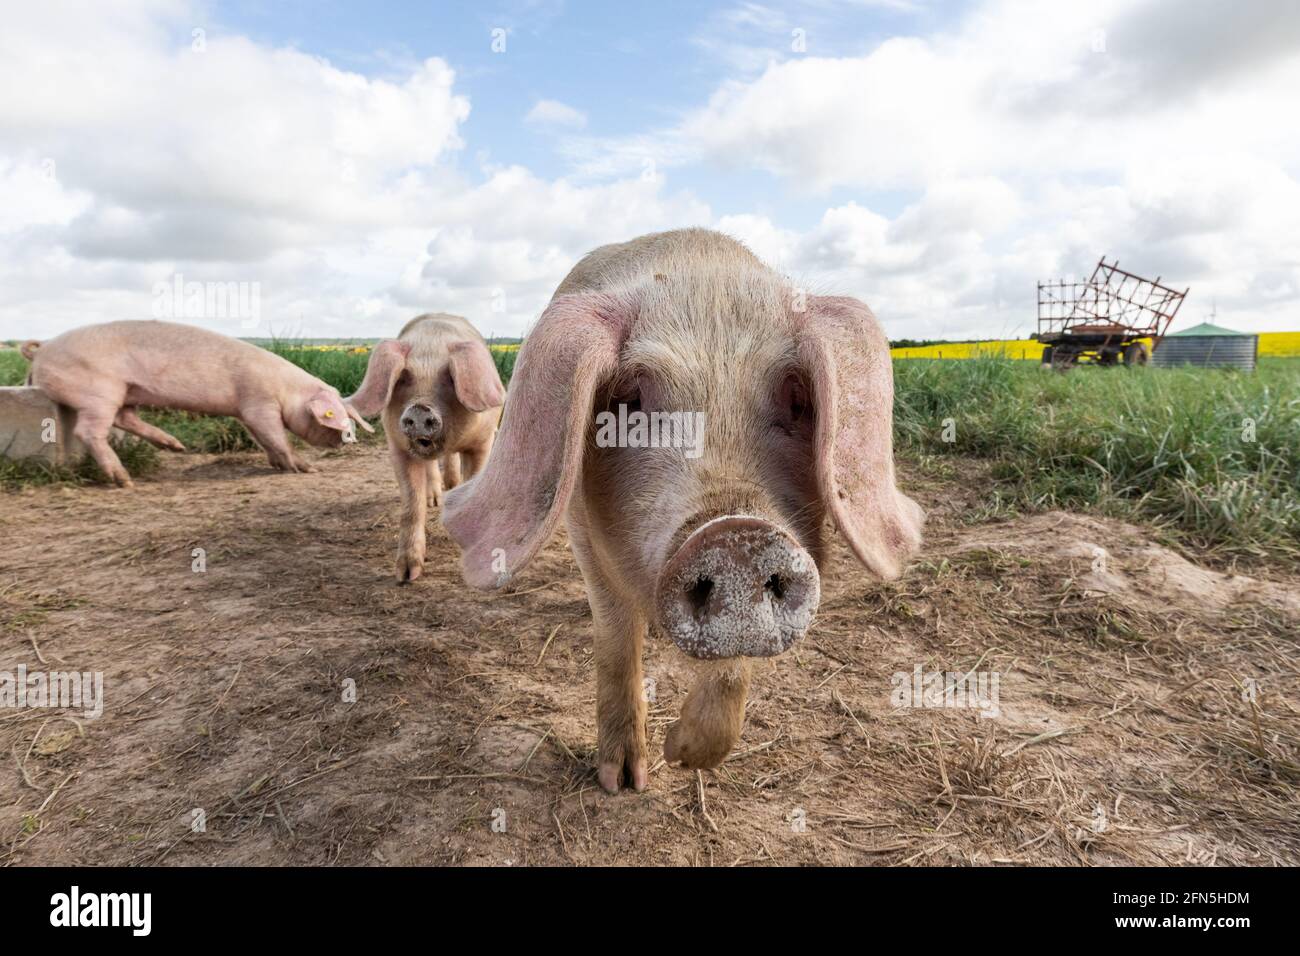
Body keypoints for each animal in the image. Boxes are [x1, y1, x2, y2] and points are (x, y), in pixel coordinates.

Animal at [22, 320, 371, 487]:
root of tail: (42, 350)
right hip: (99, 391)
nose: (344, 443)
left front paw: (277, 465)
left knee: (124, 419)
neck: (287, 391)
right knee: (89, 430)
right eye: (335, 418)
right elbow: (276, 436)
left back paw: (175, 447)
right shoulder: (258, 403)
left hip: (123, 392)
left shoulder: (246, 412)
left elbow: (264, 439)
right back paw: (124, 480)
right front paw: (306, 469)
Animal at [345, 313, 505, 583]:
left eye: (450, 378)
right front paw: (406, 575)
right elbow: (411, 504)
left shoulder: (483, 441)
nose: (419, 409)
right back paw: (435, 500)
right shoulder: (398, 448)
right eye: (403, 377)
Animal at [443, 229, 924, 793]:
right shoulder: (582, 528)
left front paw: (681, 756)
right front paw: (624, 782)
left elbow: (733, 671)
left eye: (798, 399)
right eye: (628, 398)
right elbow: (615, 637)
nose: (738, 536)